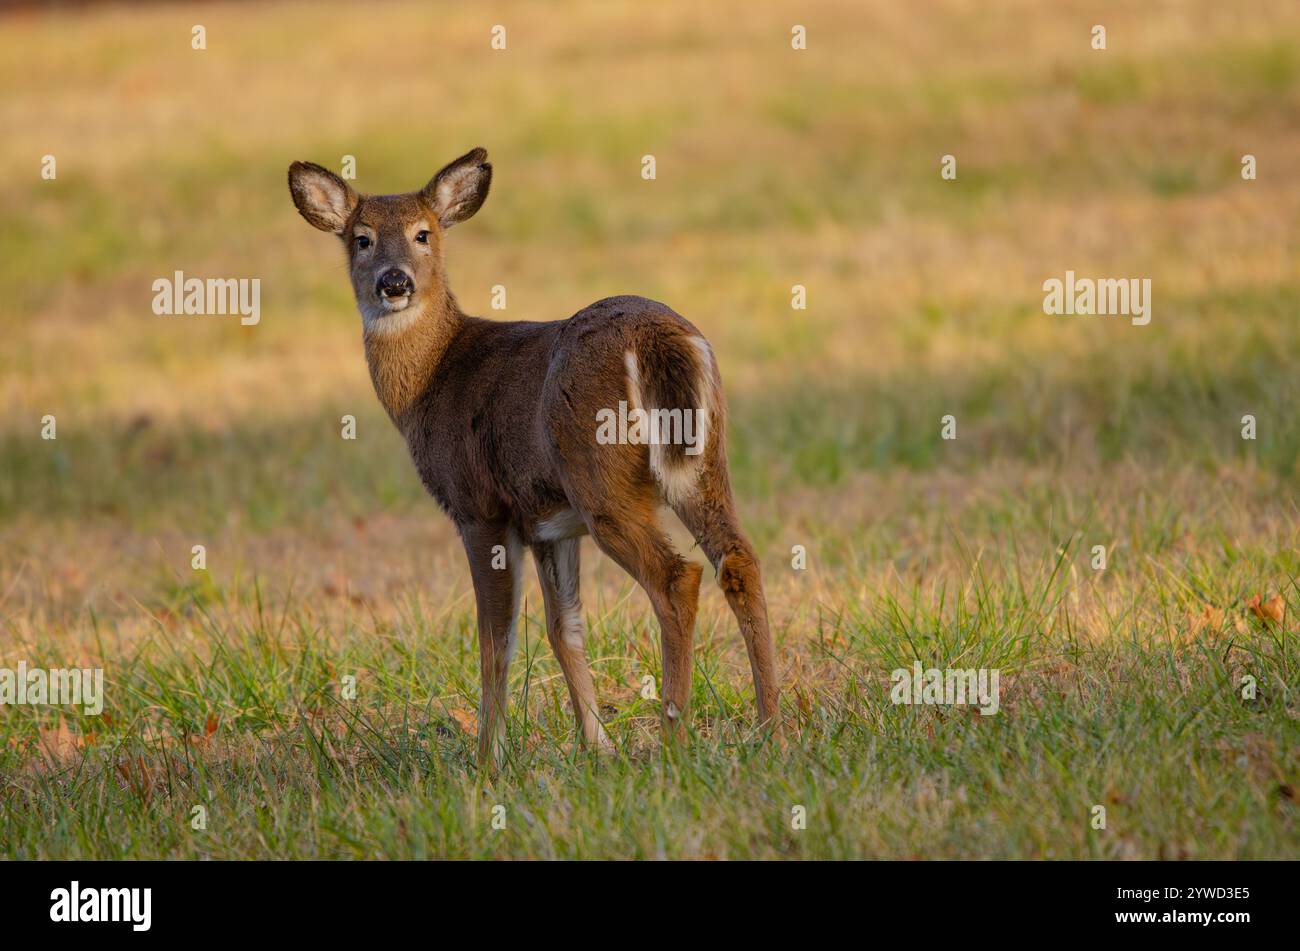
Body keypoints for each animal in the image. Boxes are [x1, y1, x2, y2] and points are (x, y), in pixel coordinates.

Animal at [288, 147, 780, 767]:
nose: (394, 282)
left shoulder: (479, 506)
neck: (431, 380)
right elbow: (562, 627)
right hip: (703, 461)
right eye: (361, 238)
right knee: (738, 558)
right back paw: (774, 725)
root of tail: (655, 336)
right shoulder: (547, 522)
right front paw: (598, 746)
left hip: (601, 478)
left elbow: (496, 636)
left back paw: (674, 739)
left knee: (676, 576)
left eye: (424, 233)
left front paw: (488, 760)